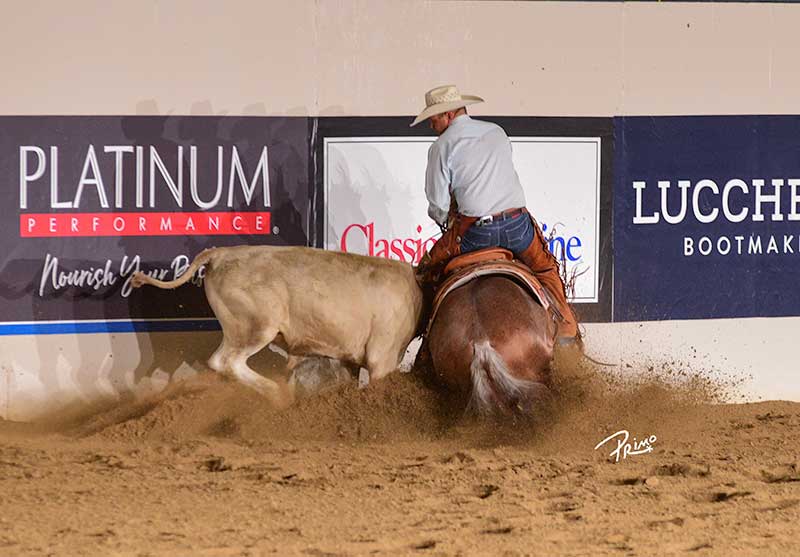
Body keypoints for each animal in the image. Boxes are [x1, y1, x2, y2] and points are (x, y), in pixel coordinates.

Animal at [131, 246, 424, 403]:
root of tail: (221, 254)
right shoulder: (383, 358)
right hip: (257, 326)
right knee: (228, 362)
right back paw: (277, 394)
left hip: (235, 329)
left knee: (220, 361)